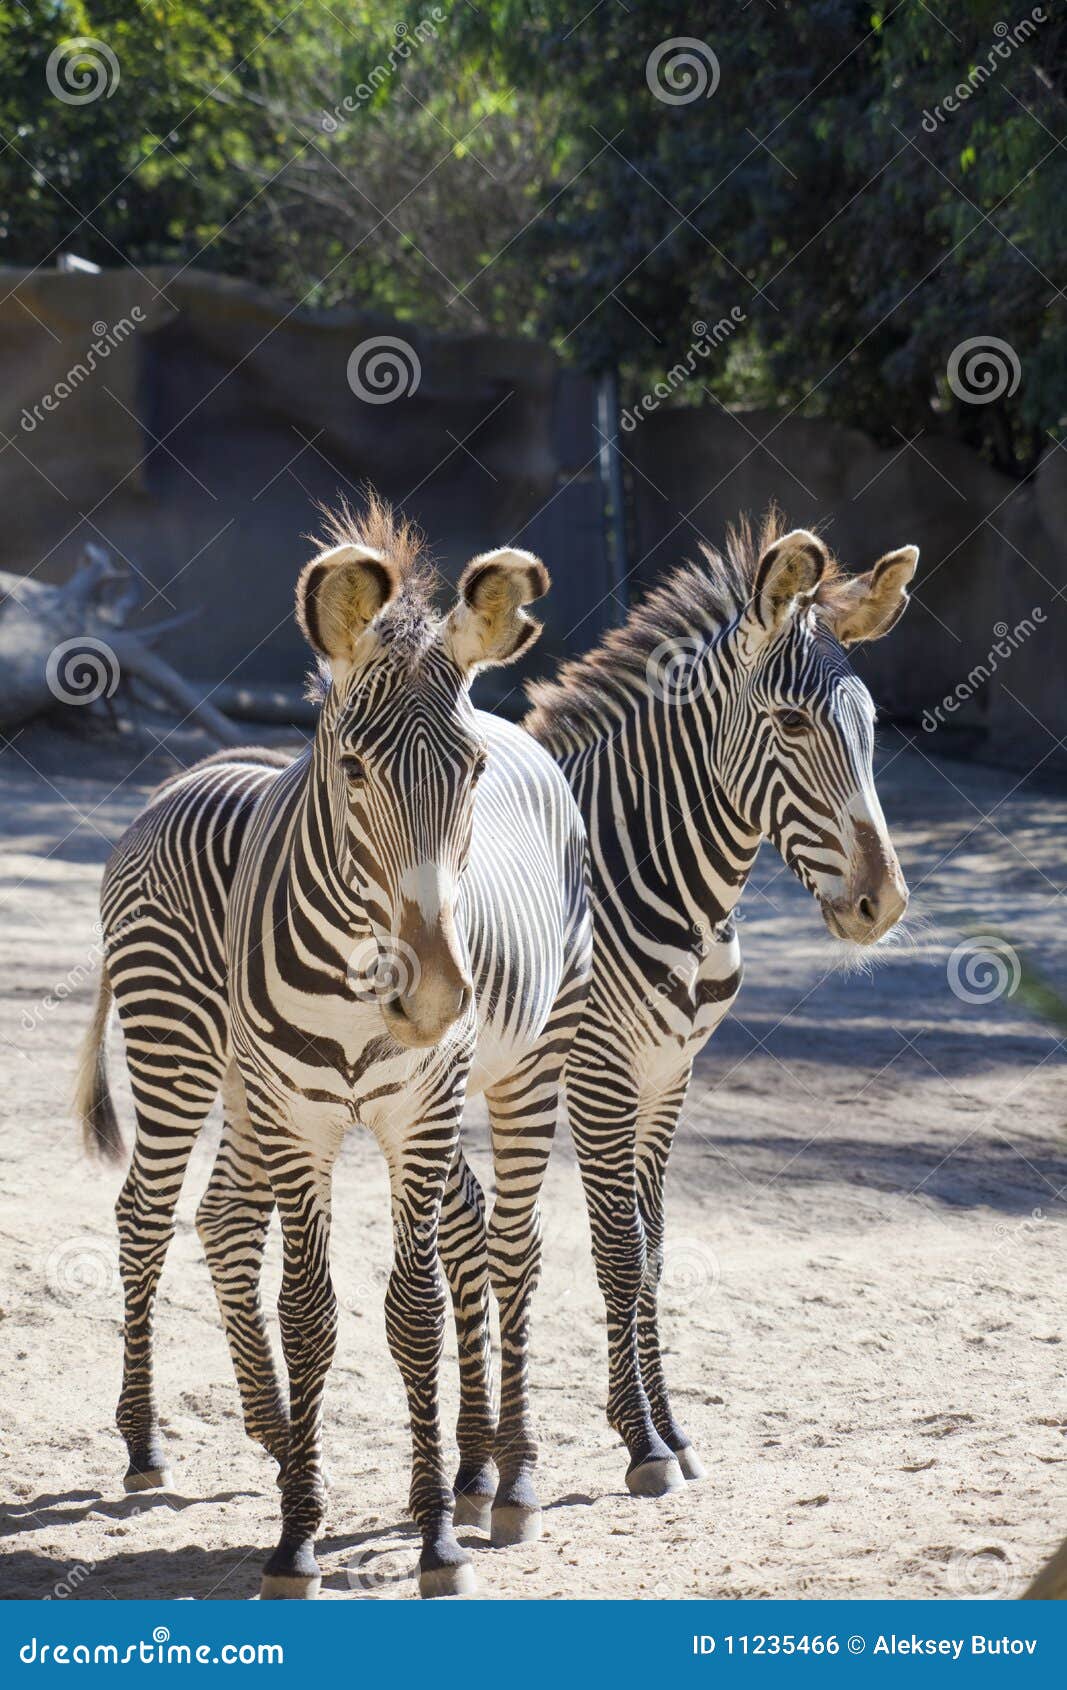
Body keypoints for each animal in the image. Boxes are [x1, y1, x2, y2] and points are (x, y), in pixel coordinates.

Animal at [77, 501, 592, 1599]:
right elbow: (311, 1310)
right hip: (180, 1052)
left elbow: (414, 1307)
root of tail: (185, 772)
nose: (435, 992)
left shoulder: (420, 1109)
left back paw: (499, 1477)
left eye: (470, 773)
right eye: (352, 770)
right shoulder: (300, 1114)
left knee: (506, 1246)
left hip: (528, 1064)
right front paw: (298, 1536)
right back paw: (150, 1444)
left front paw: (437, 1528)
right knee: (152, 1218)